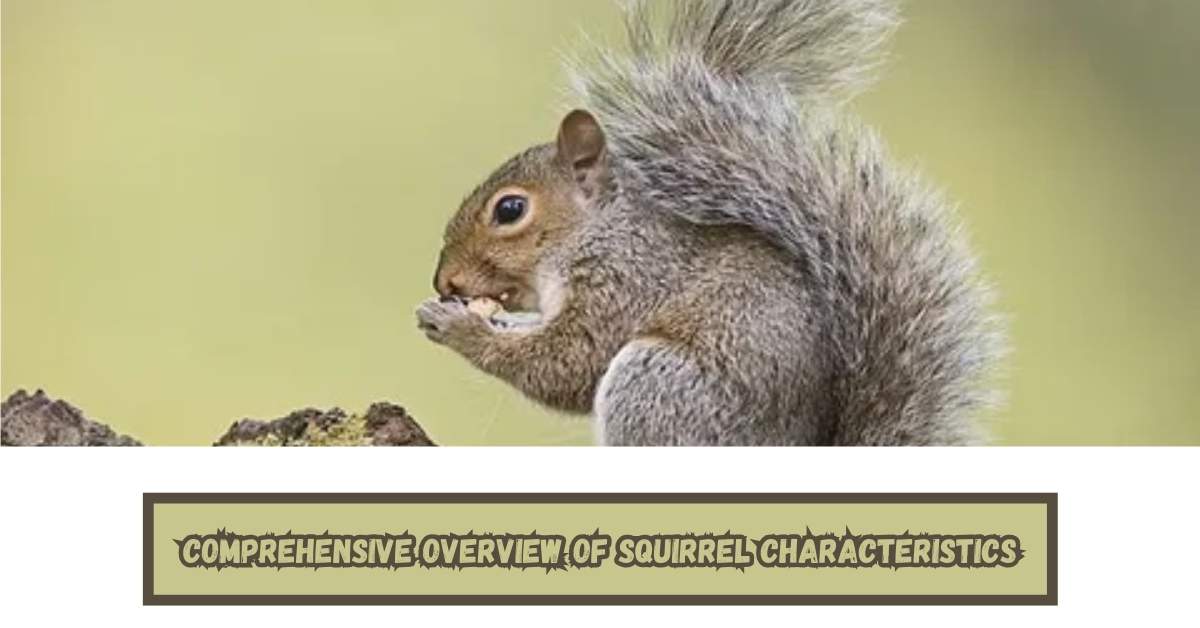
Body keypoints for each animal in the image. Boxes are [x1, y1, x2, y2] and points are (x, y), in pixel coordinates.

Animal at [416, 0, 1004, 445]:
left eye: (509, 210)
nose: (445, 282)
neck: (598, 229)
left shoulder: (628, 277)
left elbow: (569, 362)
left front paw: (461, 328)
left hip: (660, 388)